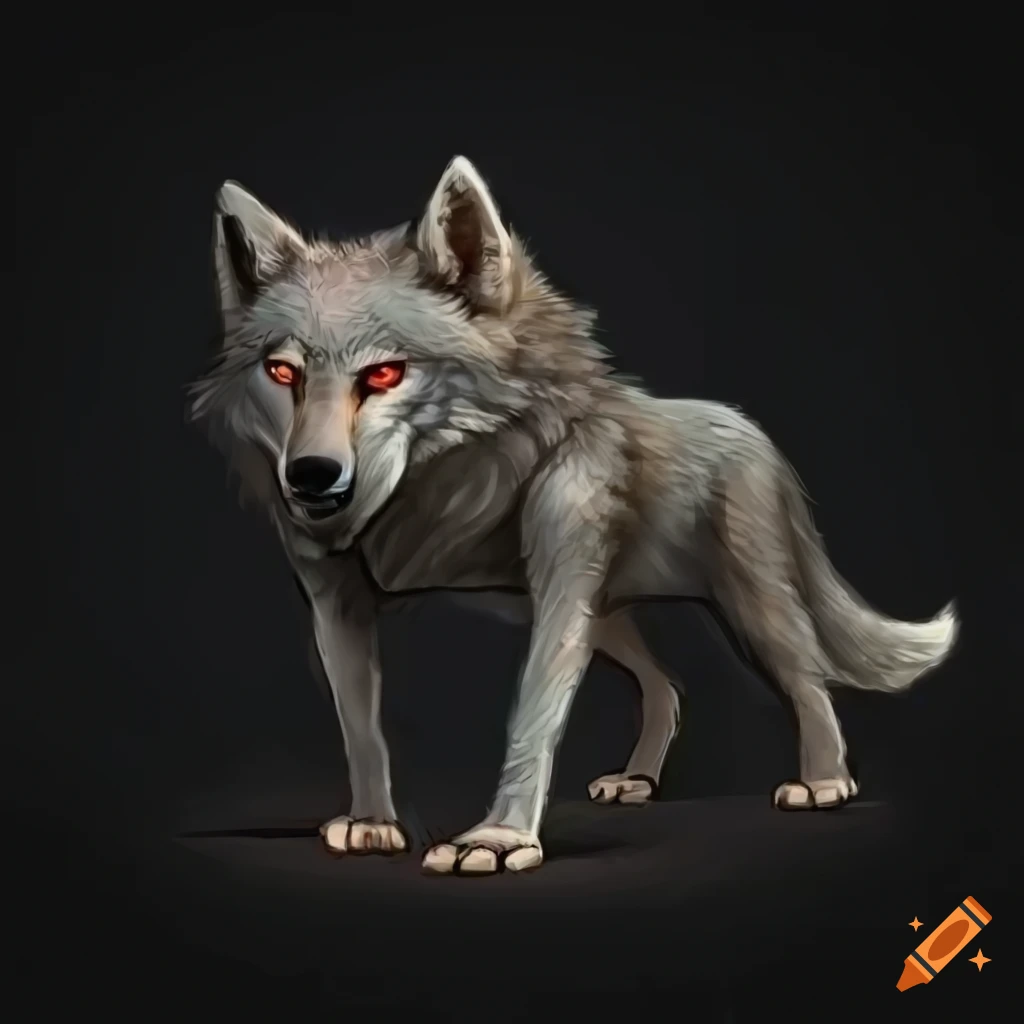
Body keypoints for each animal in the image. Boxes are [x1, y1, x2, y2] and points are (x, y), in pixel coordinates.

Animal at [189, 156, 959, 876]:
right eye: (284, 373)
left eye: (383, 373)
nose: (309, 476)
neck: (437, 491)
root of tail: (749, 427)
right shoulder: (337, 600)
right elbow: (360, 728)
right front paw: (374, 824)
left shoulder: (561, 591)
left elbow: (532, 718)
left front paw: (498, 839)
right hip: (603, 617)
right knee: (668, 685)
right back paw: (638, 780)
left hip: (744, 609)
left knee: (807, 679)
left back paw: (824, 782)